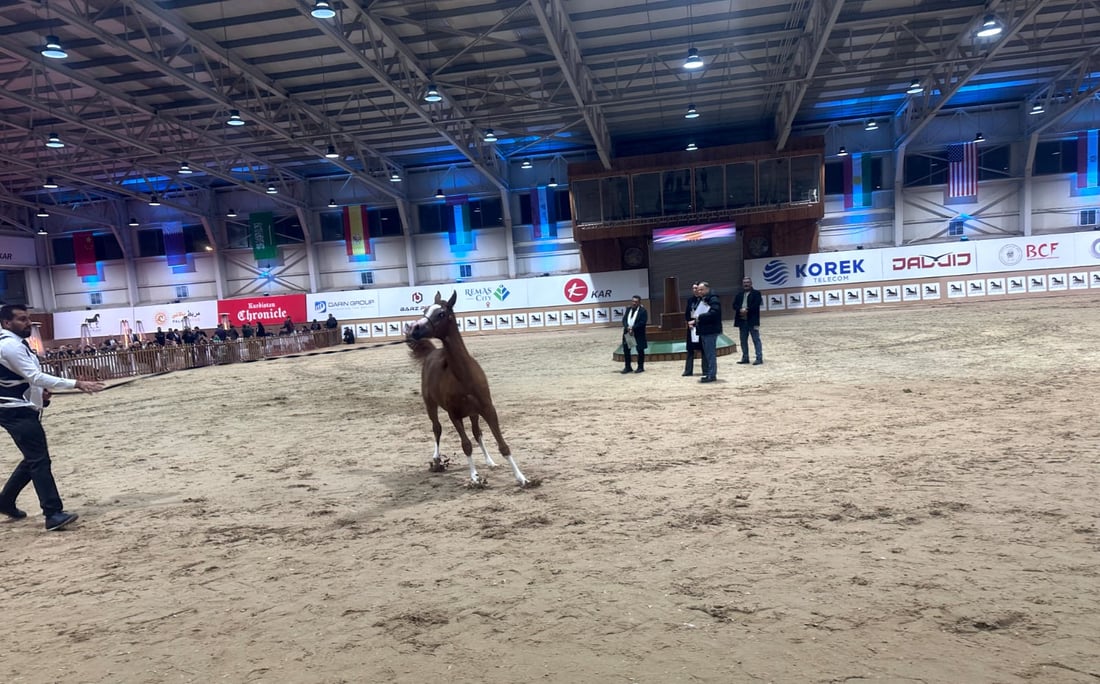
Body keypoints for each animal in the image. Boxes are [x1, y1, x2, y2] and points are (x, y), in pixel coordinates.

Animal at [405, 291, 529, 487]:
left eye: (441, 313)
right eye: (424, 310)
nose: (413, 329)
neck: (464, 377)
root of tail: (432, 352)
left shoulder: (487, 409)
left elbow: (502, 445)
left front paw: (522, 478)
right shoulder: (454, 415)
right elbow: (466, 445)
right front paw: (475, 478)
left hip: (473, 413)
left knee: (477, 433)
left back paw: (489, 461)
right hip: (430, 404)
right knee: (437, 428)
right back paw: (437, 460)